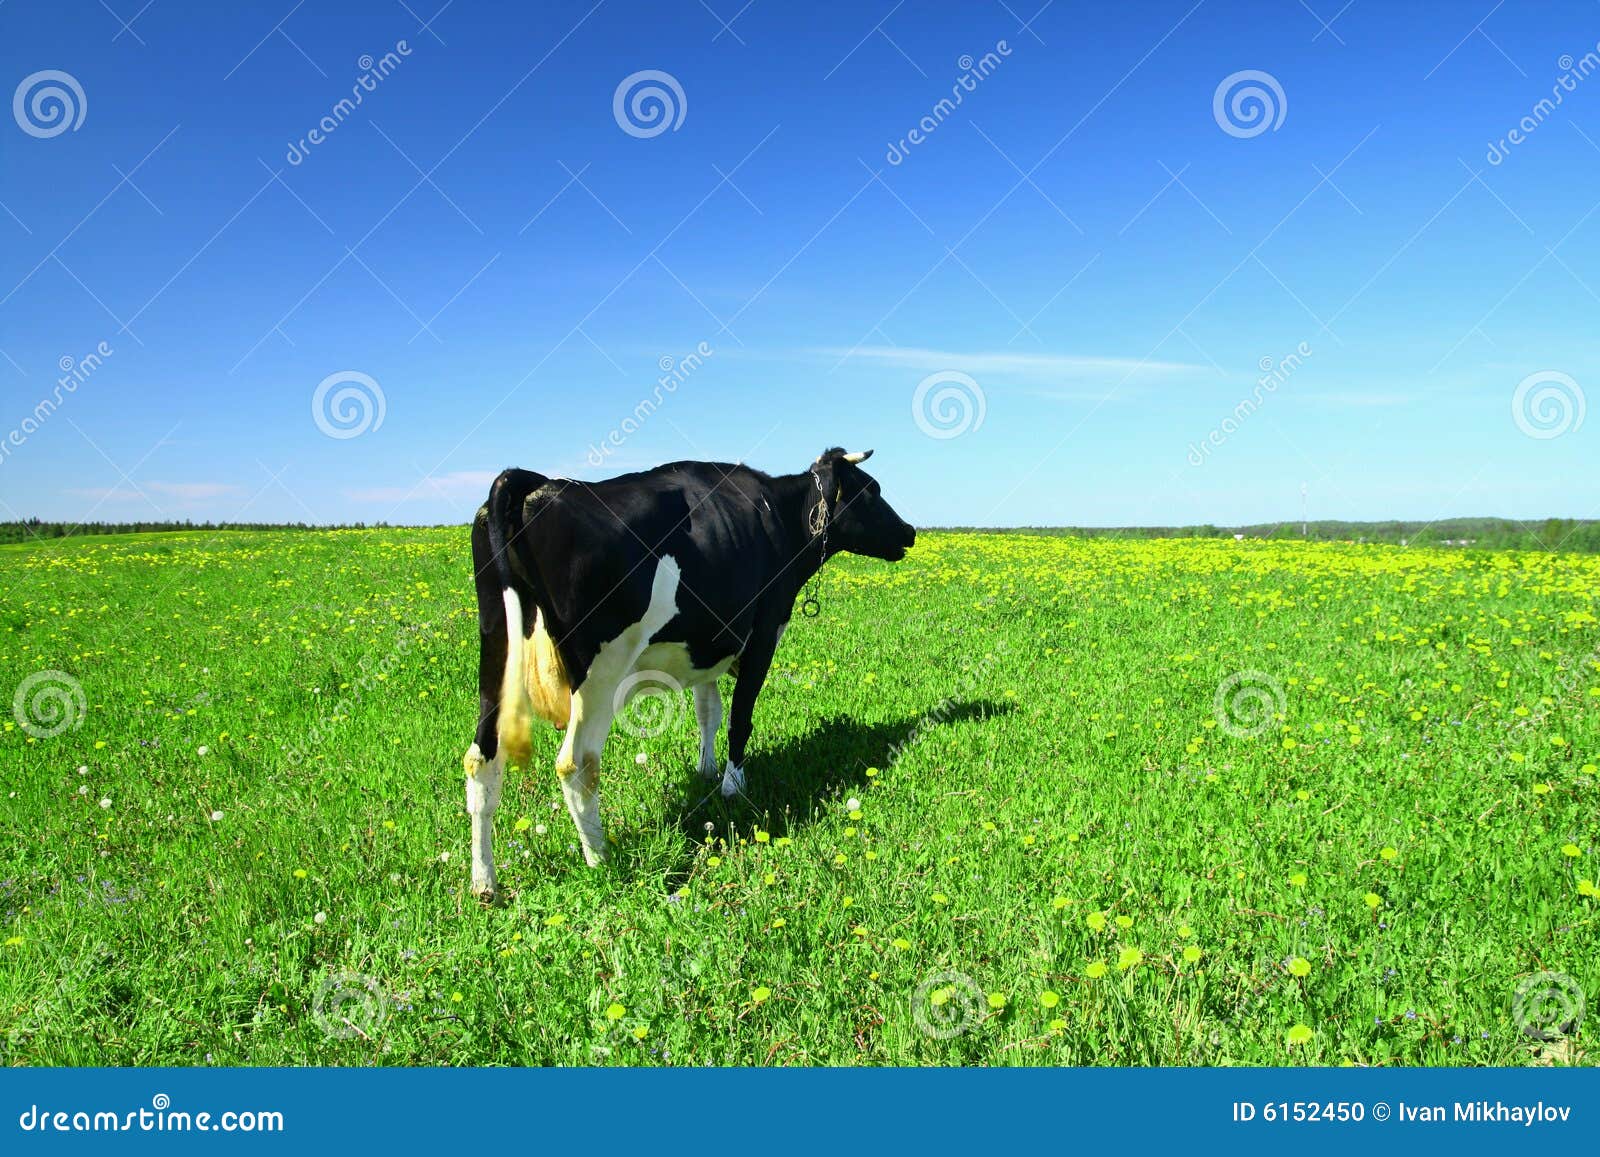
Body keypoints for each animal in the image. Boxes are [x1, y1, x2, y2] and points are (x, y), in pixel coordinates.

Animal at [461, 447, 916, 897]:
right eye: (871, 491)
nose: (910, 531)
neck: (779, 517)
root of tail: (540, 484)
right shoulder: (763, 636)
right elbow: (739, 719)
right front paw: (733, 785)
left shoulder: (707, 648)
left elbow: (708, 713)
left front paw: (706, 770)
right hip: (599, 673)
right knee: (576, 764)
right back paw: (601, 860)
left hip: (496, 655)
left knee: (482, 760)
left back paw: (485, 882)